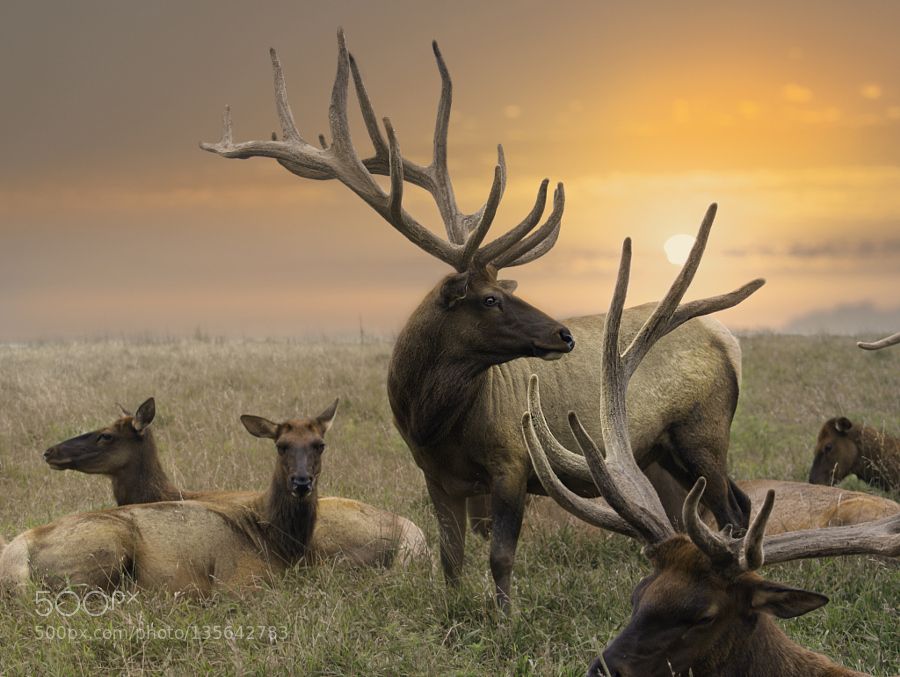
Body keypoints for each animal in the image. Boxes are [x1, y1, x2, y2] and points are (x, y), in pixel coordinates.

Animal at [206, 27, 768, 608]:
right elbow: (451, 558)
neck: (432, 419)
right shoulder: (435, 475)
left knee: (732, 511)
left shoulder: (513, 461)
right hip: (663, 453)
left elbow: (500, 555)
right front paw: (455, 607)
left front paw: (506, 614)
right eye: (491, 299)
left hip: (703, 432)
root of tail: (727, 338)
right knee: (732, 507)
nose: (563, 334)